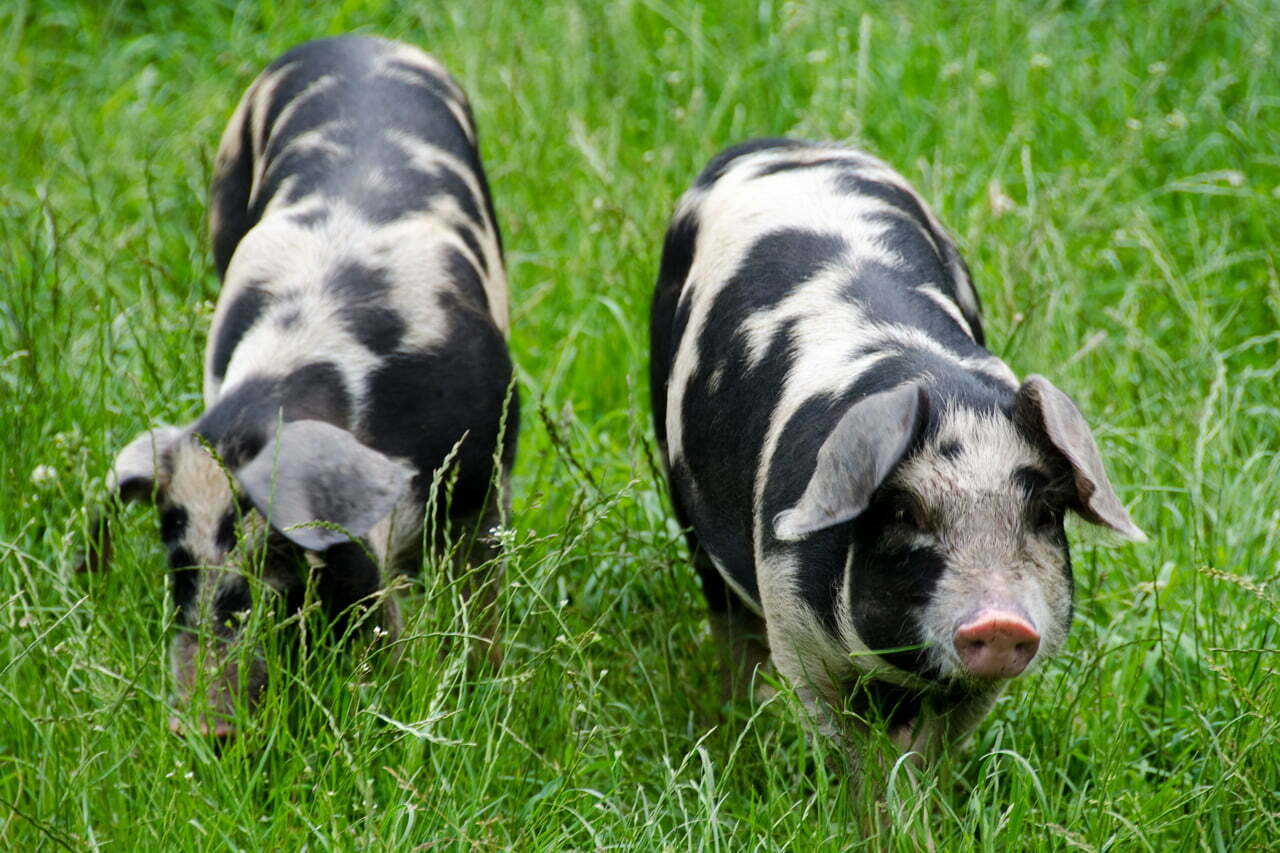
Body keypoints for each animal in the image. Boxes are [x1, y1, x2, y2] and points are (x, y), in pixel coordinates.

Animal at [101, 35, 517, 736]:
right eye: (178, 570)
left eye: (271, 565)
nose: (203, 729)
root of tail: (359, 38)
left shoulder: (485, 476)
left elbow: (479, 593)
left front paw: (474, 685)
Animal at [649, 138, 1144, 758]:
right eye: (905, 513)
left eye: (1045, 514)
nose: (999, 622)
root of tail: (781, 143)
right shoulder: (797, 633)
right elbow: (848, 749)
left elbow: (930, 752)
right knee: (726, 614)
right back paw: (741, 716)